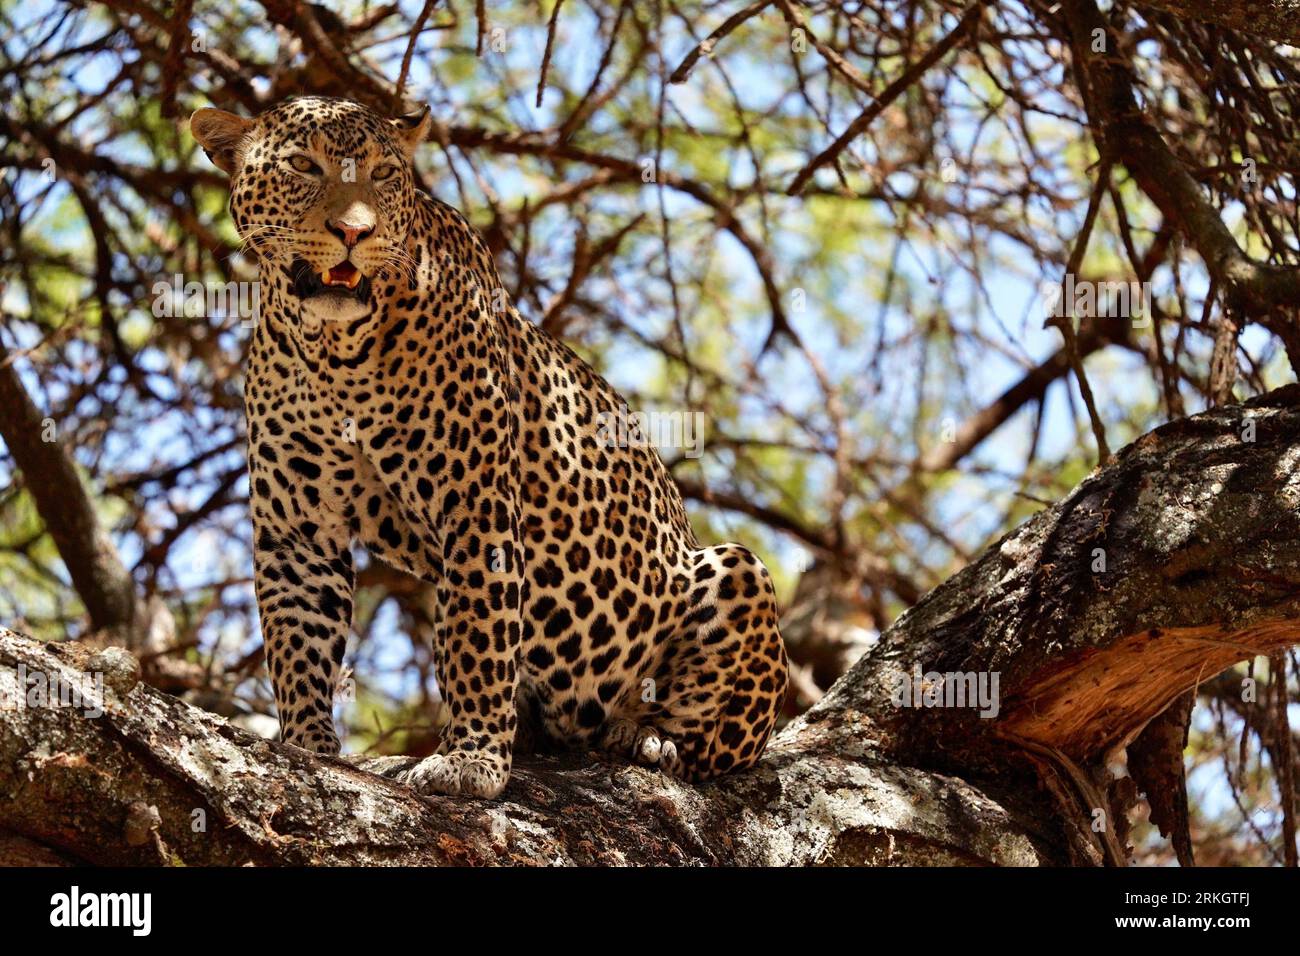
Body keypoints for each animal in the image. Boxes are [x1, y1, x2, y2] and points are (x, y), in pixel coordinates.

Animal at [189, 96, 789, 799]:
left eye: (384, 175)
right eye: (304, 167)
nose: (355, 232)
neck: (336, 351)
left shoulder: (475, 501)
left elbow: (478, 633)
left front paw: (471, 759)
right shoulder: (298, 526)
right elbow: (297, 641)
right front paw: (305, 744)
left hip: (737, 575)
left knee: (720, 744)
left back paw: (646, 736)